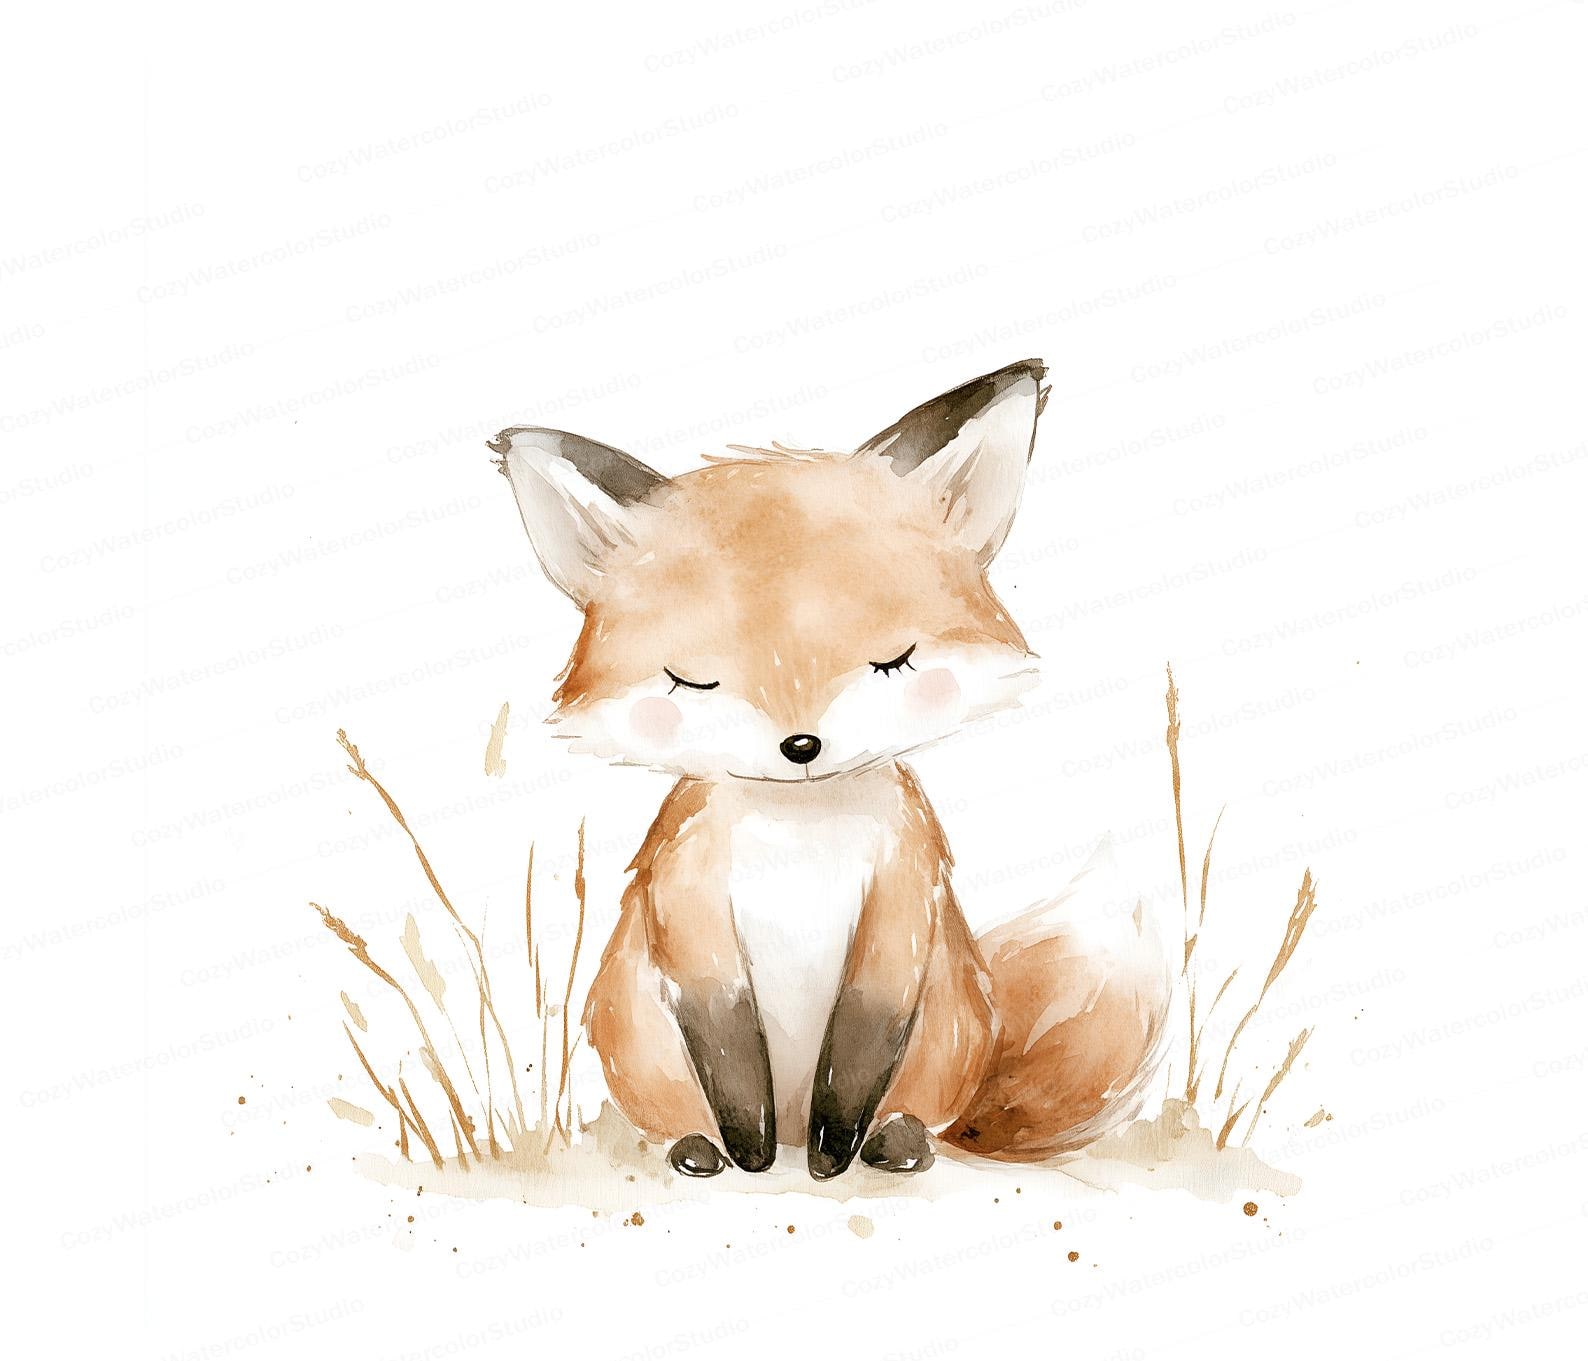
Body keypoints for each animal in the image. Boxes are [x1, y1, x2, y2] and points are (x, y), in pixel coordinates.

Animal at [492, 359, 1170, 1179]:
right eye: (692, 680)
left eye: (893, 661)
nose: (801, 746)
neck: (797, 838)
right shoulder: (689, 899)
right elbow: (726, 1043)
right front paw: (747, 1150)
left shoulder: (904, 895)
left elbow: (860, 1046)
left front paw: (833, 1154)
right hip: (641, 1038)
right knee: (680, 1111)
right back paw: (703, 1147)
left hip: (945, 1031)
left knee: (916, 1111)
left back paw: (892, 1143)